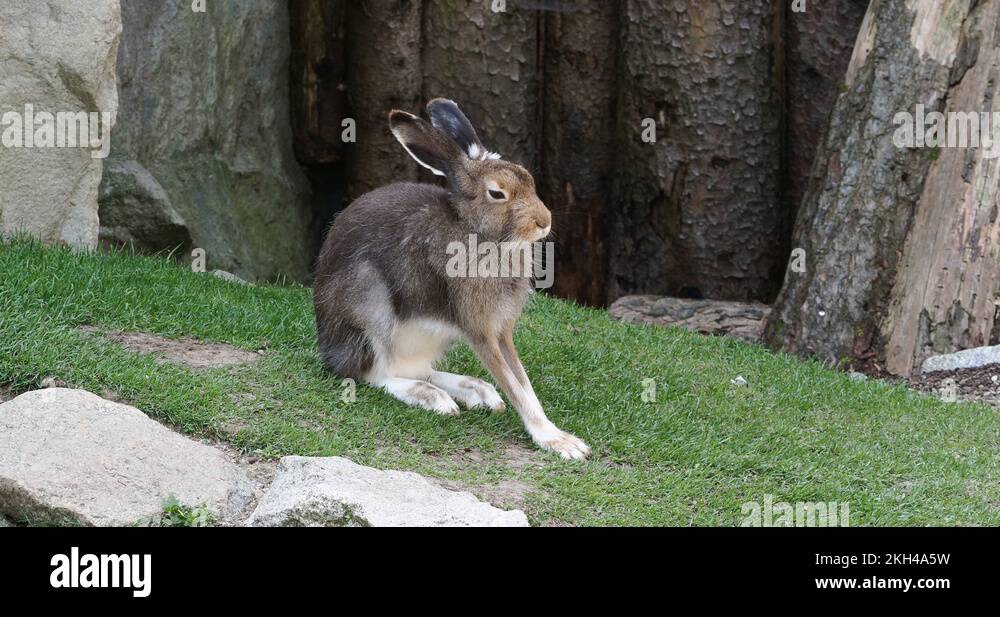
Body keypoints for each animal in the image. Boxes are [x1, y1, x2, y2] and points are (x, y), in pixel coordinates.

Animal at [313, 98, 590, 460]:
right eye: (497, 194)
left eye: (529, 180)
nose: (544, 222)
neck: (478, 233)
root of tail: (329, 348)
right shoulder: (479, 329)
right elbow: (515, 386)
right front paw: (557, 441)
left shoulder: (502, 330)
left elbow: (523, 382)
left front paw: (555, 435)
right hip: (370, 305)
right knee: (376, 373)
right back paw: (433, 398)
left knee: (416, 368)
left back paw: (476, 391)